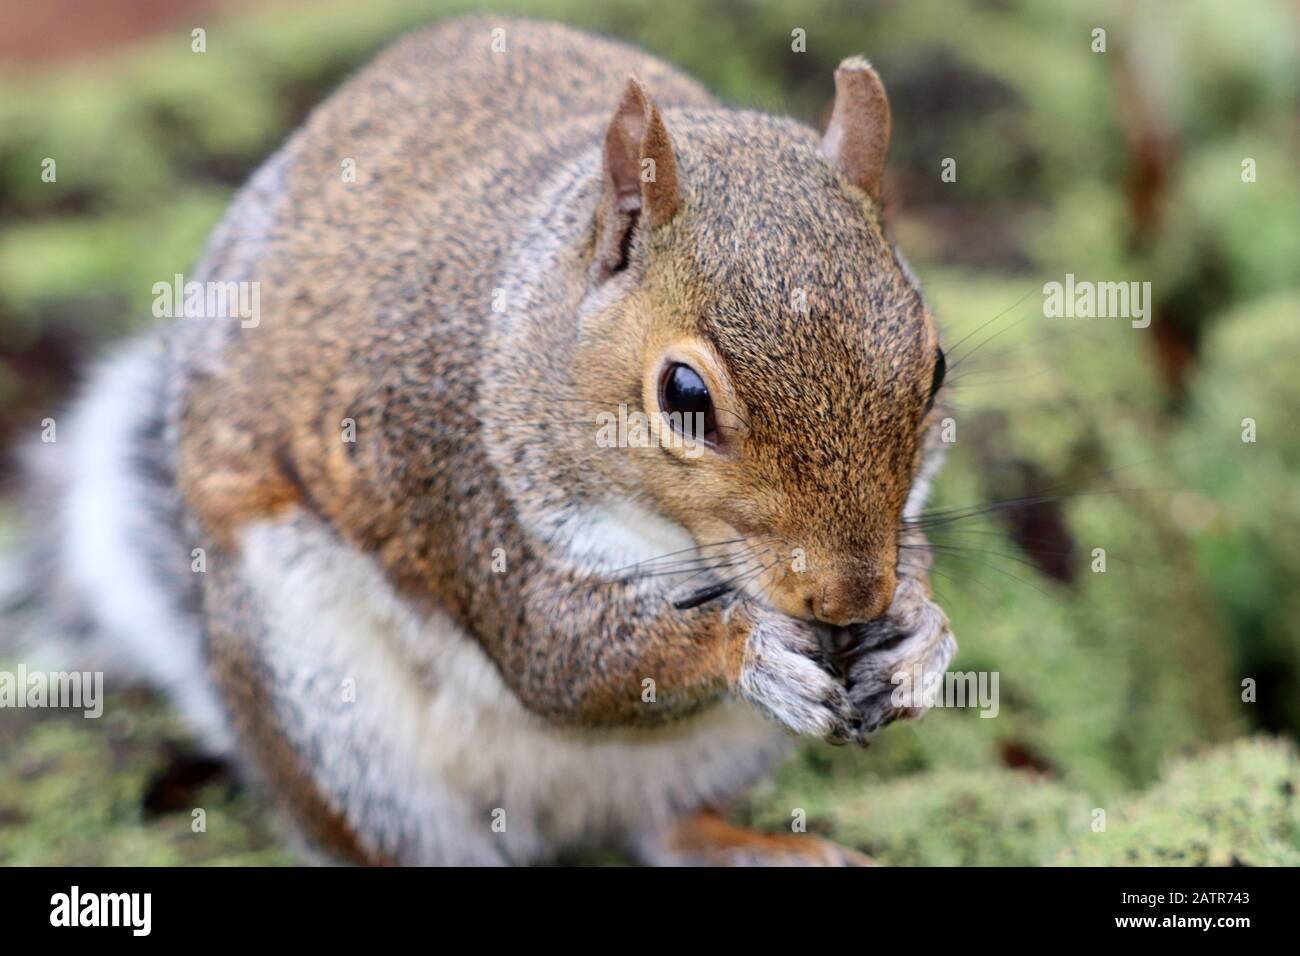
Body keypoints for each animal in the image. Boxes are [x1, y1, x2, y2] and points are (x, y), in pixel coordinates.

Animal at [3, 17, 956, 865]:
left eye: (937, 363)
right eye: (683, 397)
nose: (851, 599)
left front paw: (920, 632)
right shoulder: (463, 483)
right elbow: (560, 655)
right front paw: (747, 643)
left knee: (662, 826)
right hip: (327, 712)